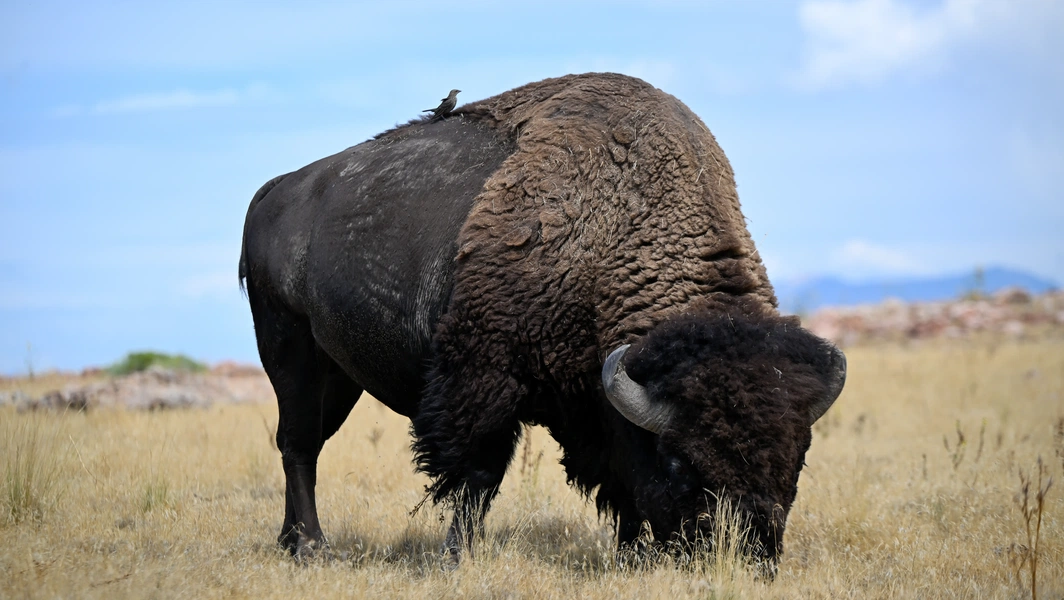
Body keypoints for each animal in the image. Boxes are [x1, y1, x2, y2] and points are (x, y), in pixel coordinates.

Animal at [238, 73, 846, 566]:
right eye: (680, 462)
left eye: (799, 458)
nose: (749, 556)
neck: (608, 223)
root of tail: (272, 192)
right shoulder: (484, 380)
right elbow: (478, 476)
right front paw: (455, 559)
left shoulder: (593, 400)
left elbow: (615, 480)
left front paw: (630, 554)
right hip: (290, 351)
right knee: (298, 445)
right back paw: (312, 548)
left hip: (340, 375)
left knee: (305, 443)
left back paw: (291, 542)